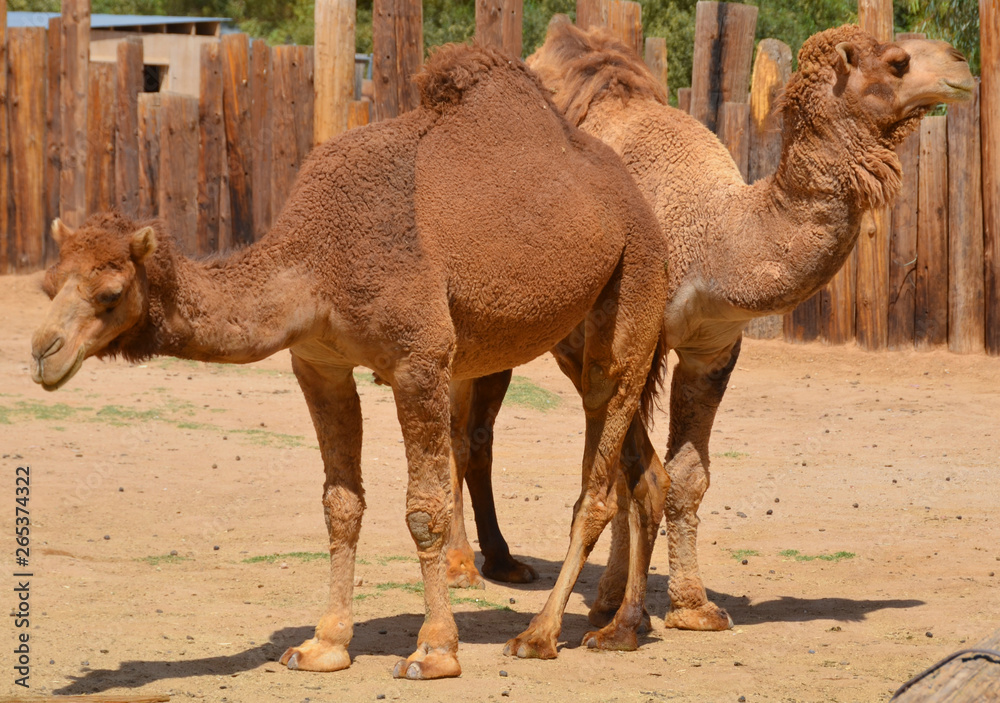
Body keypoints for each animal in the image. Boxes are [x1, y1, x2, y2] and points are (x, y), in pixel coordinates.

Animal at [29, 43, 670, 678]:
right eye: (48, 284)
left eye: (110, 294)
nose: (41, 353)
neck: (318, 260)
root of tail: (634, 195)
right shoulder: (319, 364)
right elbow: (341, 505)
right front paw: (325, 643)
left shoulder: (419, 360)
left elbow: (424, 510)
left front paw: (434, 650)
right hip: (578, 332)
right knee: (641, 466)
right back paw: (622, 629)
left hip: (635, 280)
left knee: (598, 475)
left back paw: (540, 633)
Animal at [448, 22, 975, 653]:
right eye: (897, 62)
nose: (964, 65)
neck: (714, 239)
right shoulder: (620, 345)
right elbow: (629, 472)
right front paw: (616, 610)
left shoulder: (712, 347)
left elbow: (684, 477)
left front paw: (685, 607)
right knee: (459, 430)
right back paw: (459, 566)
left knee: (480, 433)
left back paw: (505, 562)